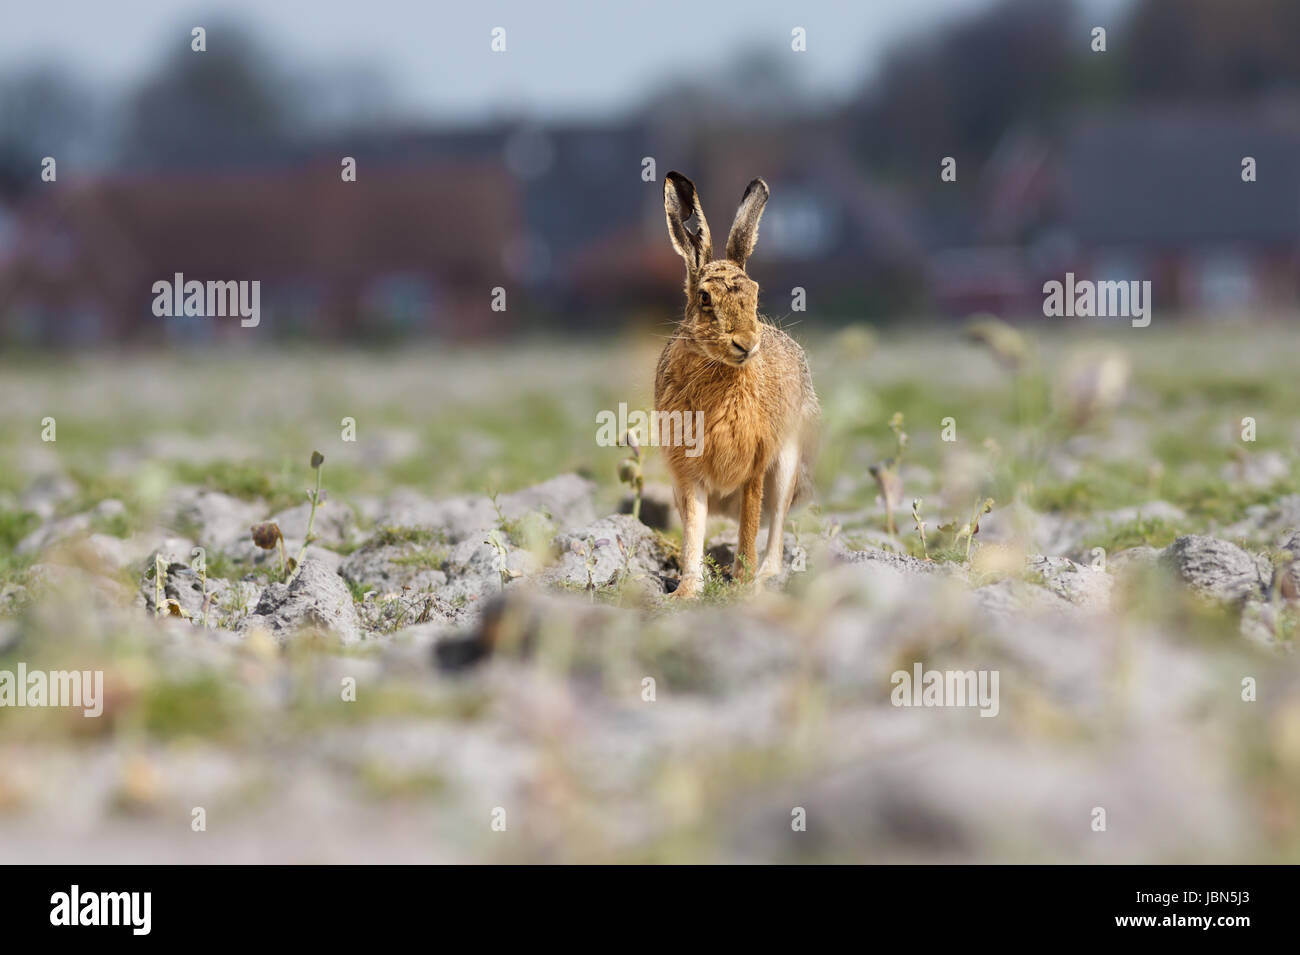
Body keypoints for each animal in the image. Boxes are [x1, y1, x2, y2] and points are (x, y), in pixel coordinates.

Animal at [655, 171, 819, 598]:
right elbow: (693, 528)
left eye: (755, 294)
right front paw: (686, 591)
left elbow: (750, 524)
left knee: (774, 524)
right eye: (704, 298)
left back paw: (763, 578)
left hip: (788, 462)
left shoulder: (756, 464)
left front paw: (741, 583)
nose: (747, 342)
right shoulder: (687, 470)